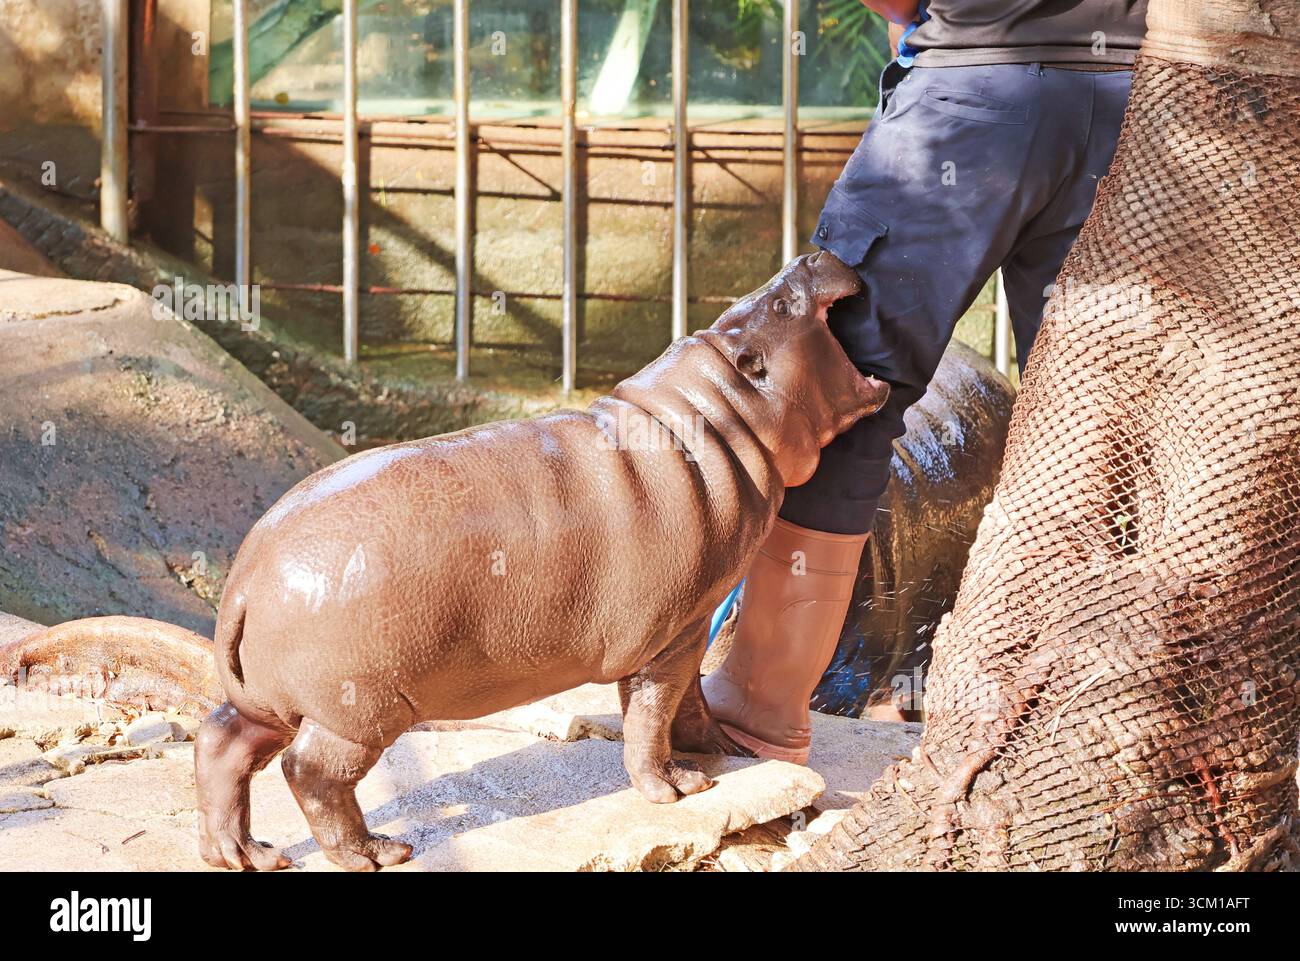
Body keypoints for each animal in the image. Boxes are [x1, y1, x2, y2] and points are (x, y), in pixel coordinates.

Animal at [170, 251, 885, 871]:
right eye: (785, 304)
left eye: (761, 296)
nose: (816, 250)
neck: (720, 412)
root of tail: (247, 575)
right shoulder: (669, 633)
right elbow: (653, 712)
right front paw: (680, 788)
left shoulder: (693, 624)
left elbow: (691, 700)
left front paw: (719, 752)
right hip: (357, 709)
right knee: (310, 771)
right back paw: (379, 854)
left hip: (271, 698)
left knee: (221, 742)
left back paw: (245, 855)